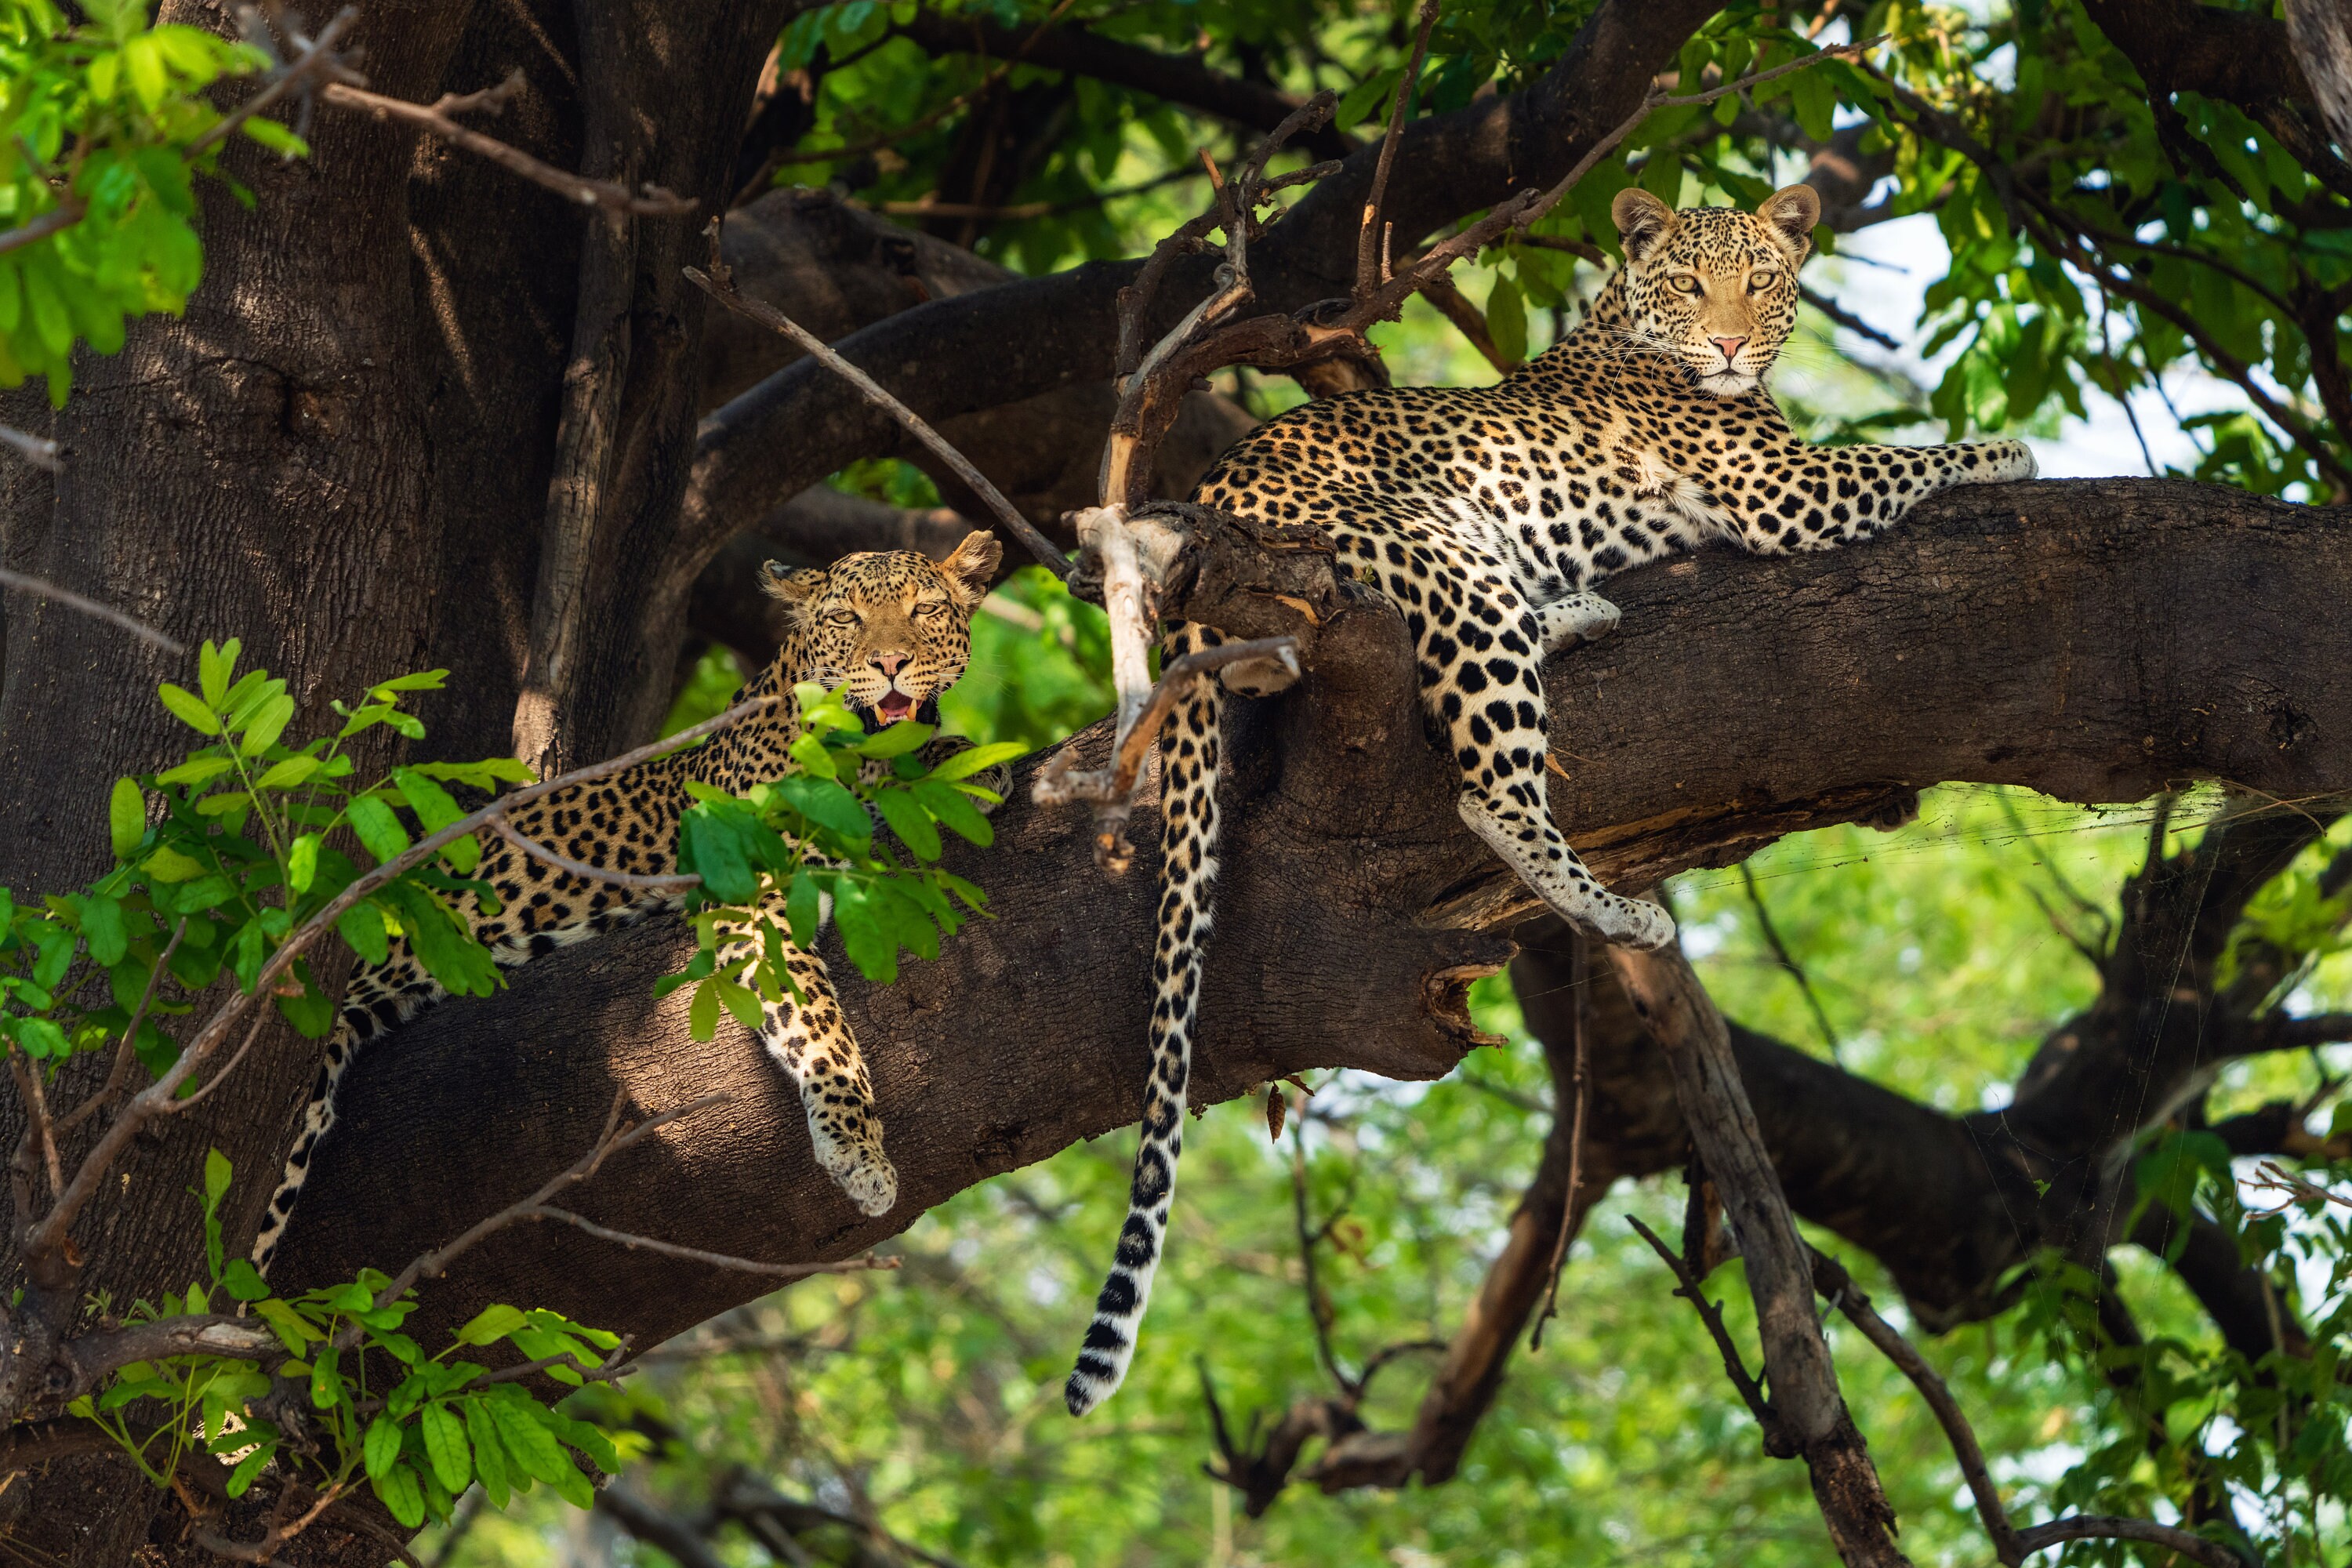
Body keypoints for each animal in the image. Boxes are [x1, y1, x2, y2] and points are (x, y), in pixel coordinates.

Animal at [251, 533, 1008, 1276]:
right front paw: (856, 1148)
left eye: (924, 610)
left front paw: (972, 763)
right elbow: (818, 1028)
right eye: (847, 619)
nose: (890, 663)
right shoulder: (754, 902)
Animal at [1063, 184, 2038, 1414]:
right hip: (1443, 556)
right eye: (1690, 286)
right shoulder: (1790, 495)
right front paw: (2009, 447)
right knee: (1489, 795)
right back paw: (1620, 904)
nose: (1730, 344)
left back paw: (1575, 613)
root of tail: (1213, 507)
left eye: (1762, 282)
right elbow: (1906, 455)